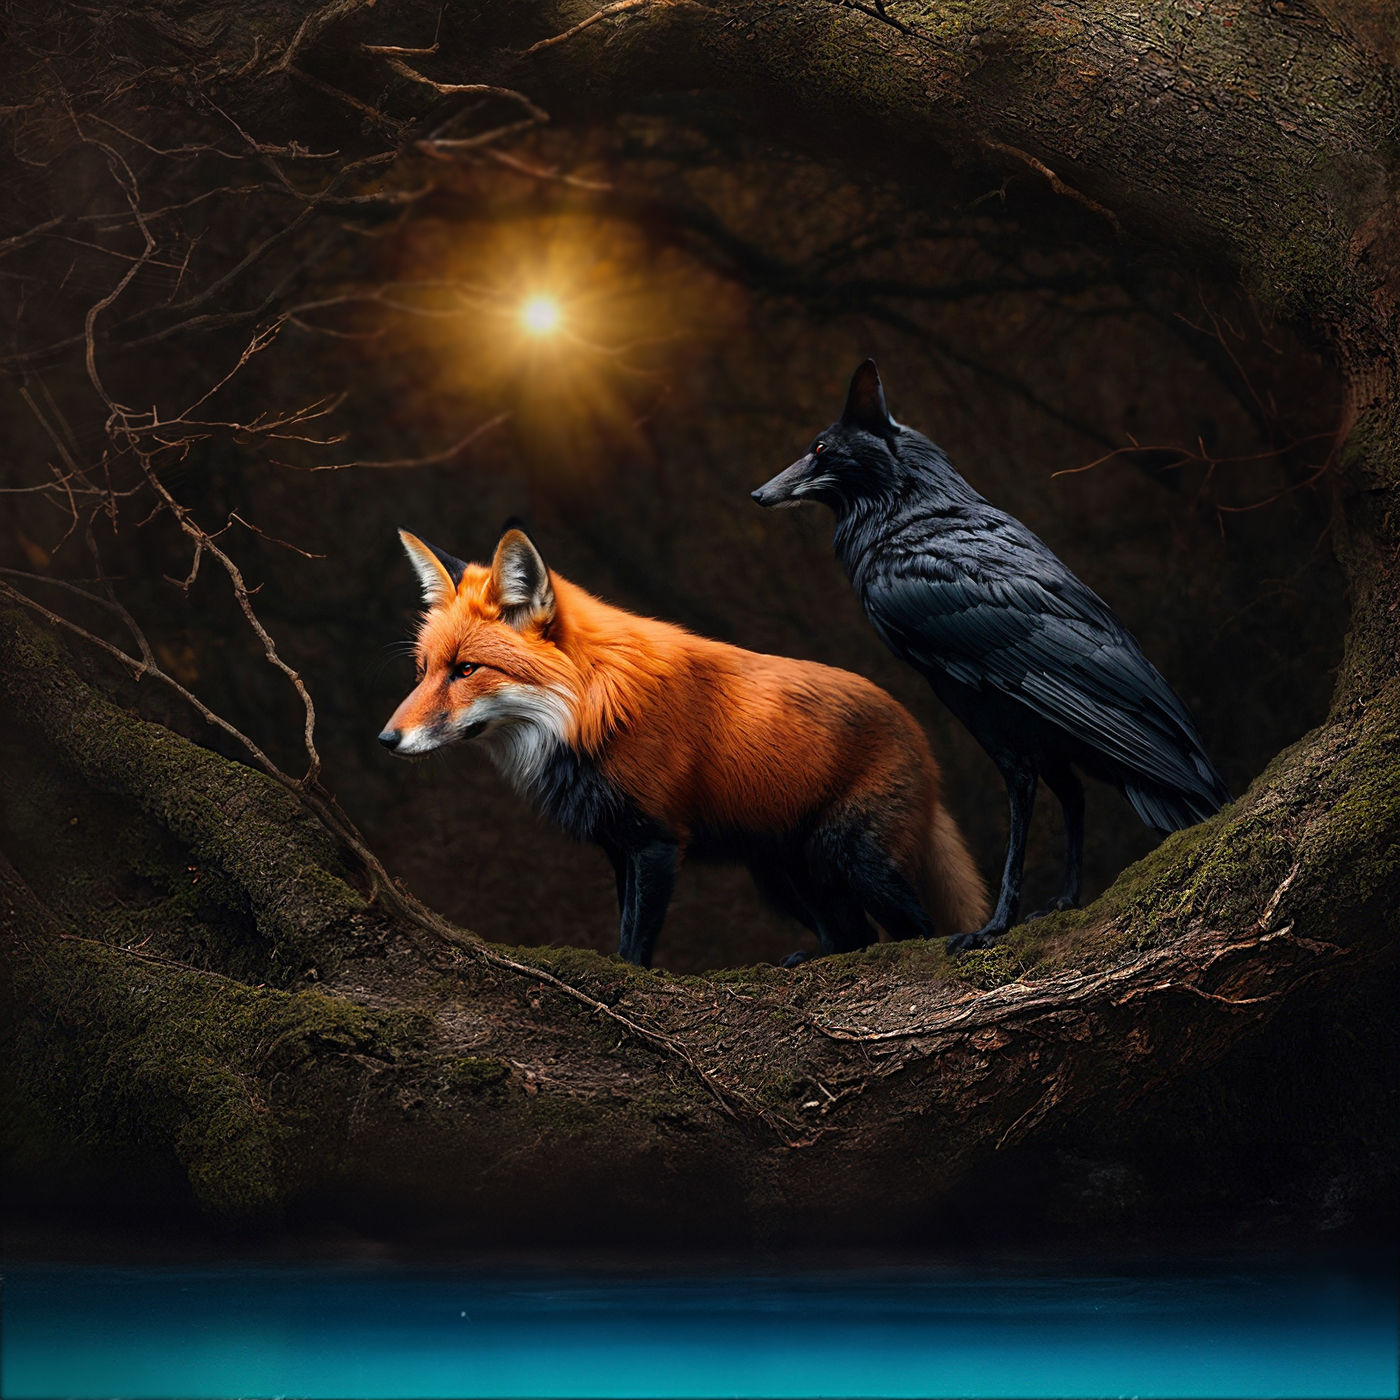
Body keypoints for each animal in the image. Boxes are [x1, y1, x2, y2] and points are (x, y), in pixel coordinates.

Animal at [378, 527, 989, 967]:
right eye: (423, 670)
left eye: (466, 670)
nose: (386, 739)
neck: (593, 712)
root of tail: (915, 731)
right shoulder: (618, 844)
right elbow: (623, 923)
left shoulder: (656, 842)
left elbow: (636, 941)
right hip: (786, 876)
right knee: (853, 934)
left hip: (853, 858)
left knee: (916, 927)